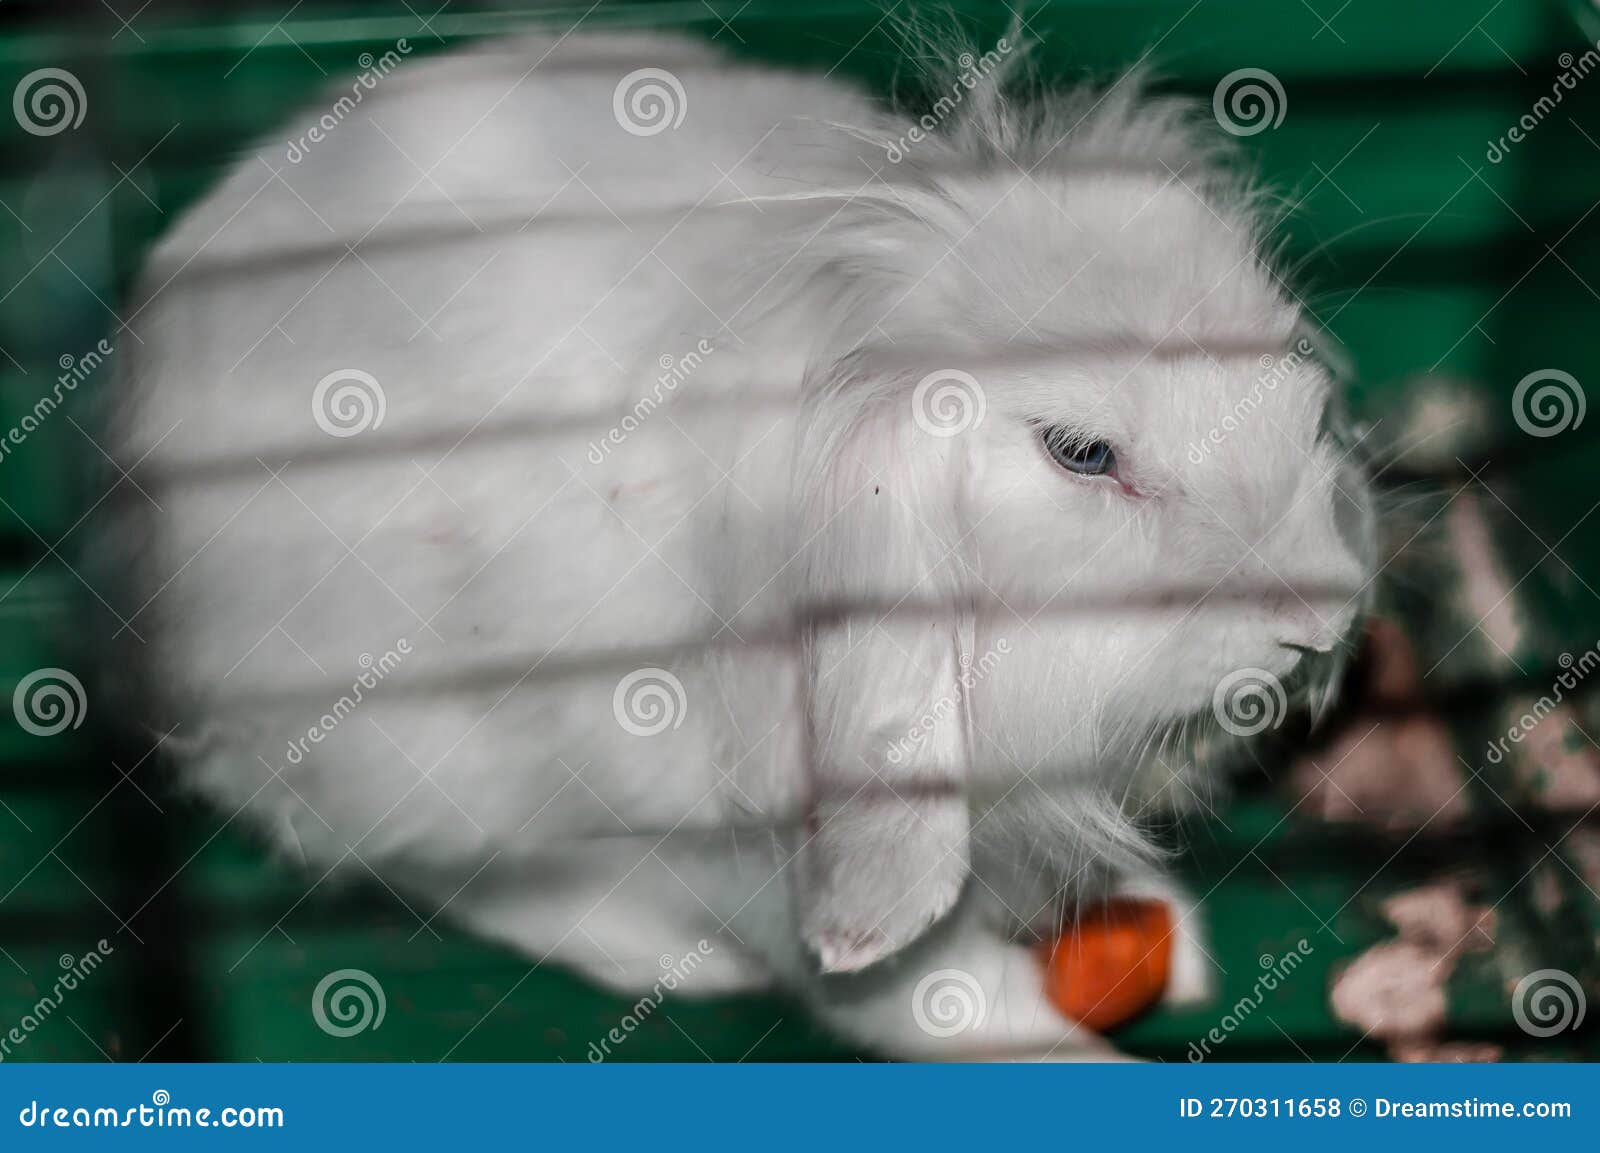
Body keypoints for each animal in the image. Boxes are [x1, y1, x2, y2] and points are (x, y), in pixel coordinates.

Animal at [99, 26, 1372, 1060]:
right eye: (1081, 452)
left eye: (1297, 405)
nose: (1318, 621)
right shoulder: (755, 842)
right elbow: (921, 990)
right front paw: (1057, 1051)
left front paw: (1177, 941)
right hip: (412, 757)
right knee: (458, 869)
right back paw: (668, 958)